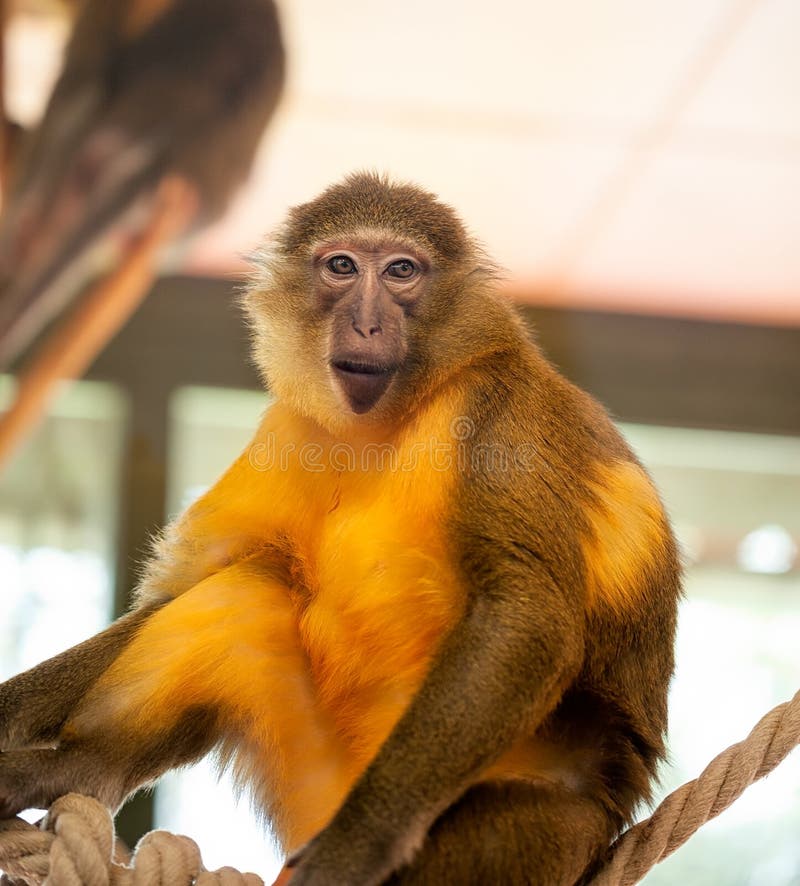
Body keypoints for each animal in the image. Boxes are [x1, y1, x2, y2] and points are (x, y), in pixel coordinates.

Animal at [0, 172, 680, 885]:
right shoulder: (289, 429)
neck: (387, 418)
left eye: (402, 271)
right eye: (343, 267)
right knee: (251, 586)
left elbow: (527, 613)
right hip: (313, 775)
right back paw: (75, 767)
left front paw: (359, 844)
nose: (368, 320)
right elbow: (178, 592)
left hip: (543, 818)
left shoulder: (501, 409)